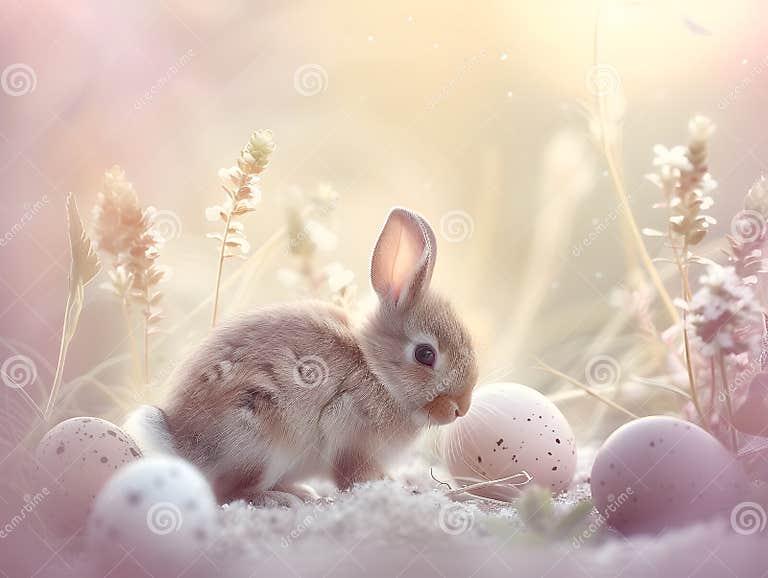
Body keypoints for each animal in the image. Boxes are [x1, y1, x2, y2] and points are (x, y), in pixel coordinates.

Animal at [124, 207, 478, 505]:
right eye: (425, 354)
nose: (460, 409)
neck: (377, 371)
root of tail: (181, 445)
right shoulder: (348, 427)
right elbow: (352, 474)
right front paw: (391, 488)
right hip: (260, 443)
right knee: (226, 491)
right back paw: (281, 499)